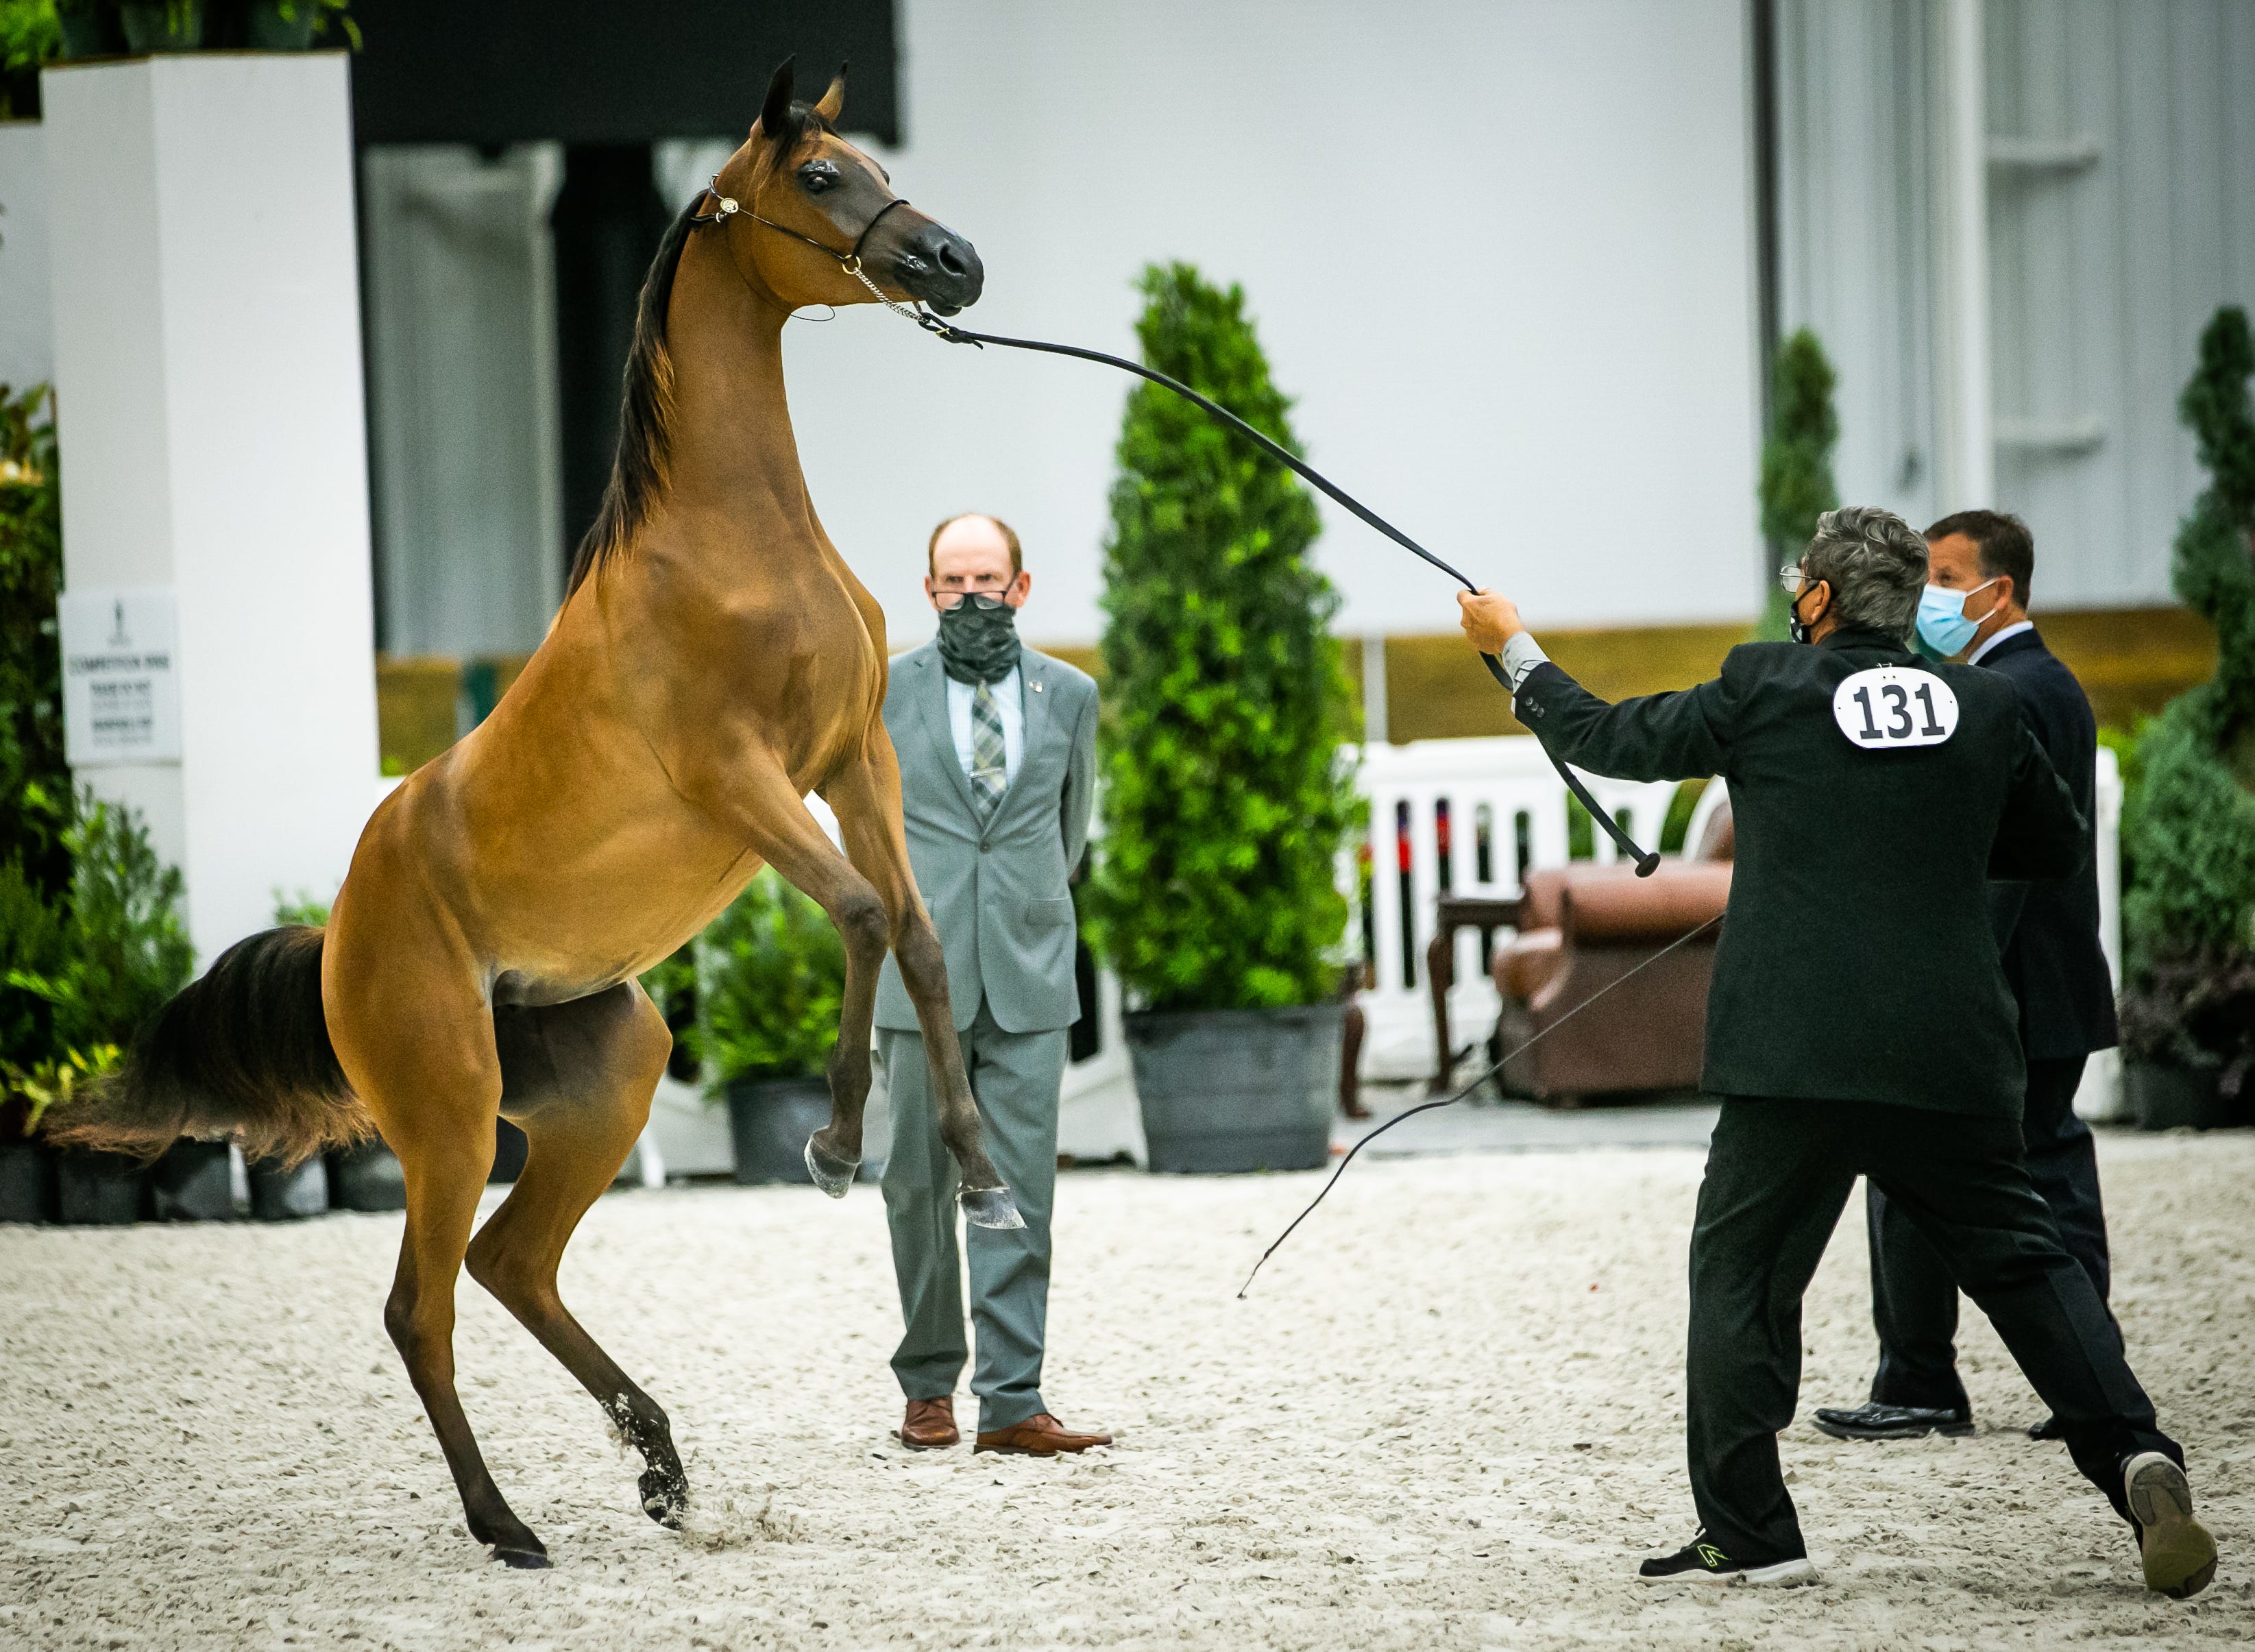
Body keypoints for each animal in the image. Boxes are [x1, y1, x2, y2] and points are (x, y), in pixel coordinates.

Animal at [51, 58, 1019, 1569]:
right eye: (820, 177)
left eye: (874, 161)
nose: (954, 262)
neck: (731, 542)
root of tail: (336, 930)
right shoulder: (742, 777)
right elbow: (865, 914)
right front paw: (831, 1145)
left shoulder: (855, 760)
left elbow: (915, 939)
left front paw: (978, 1172)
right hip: (448, 1114)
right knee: (423, 1305)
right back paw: (507, 1523)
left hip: (606, 1070)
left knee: (510, 1263)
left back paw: (660, 1464)